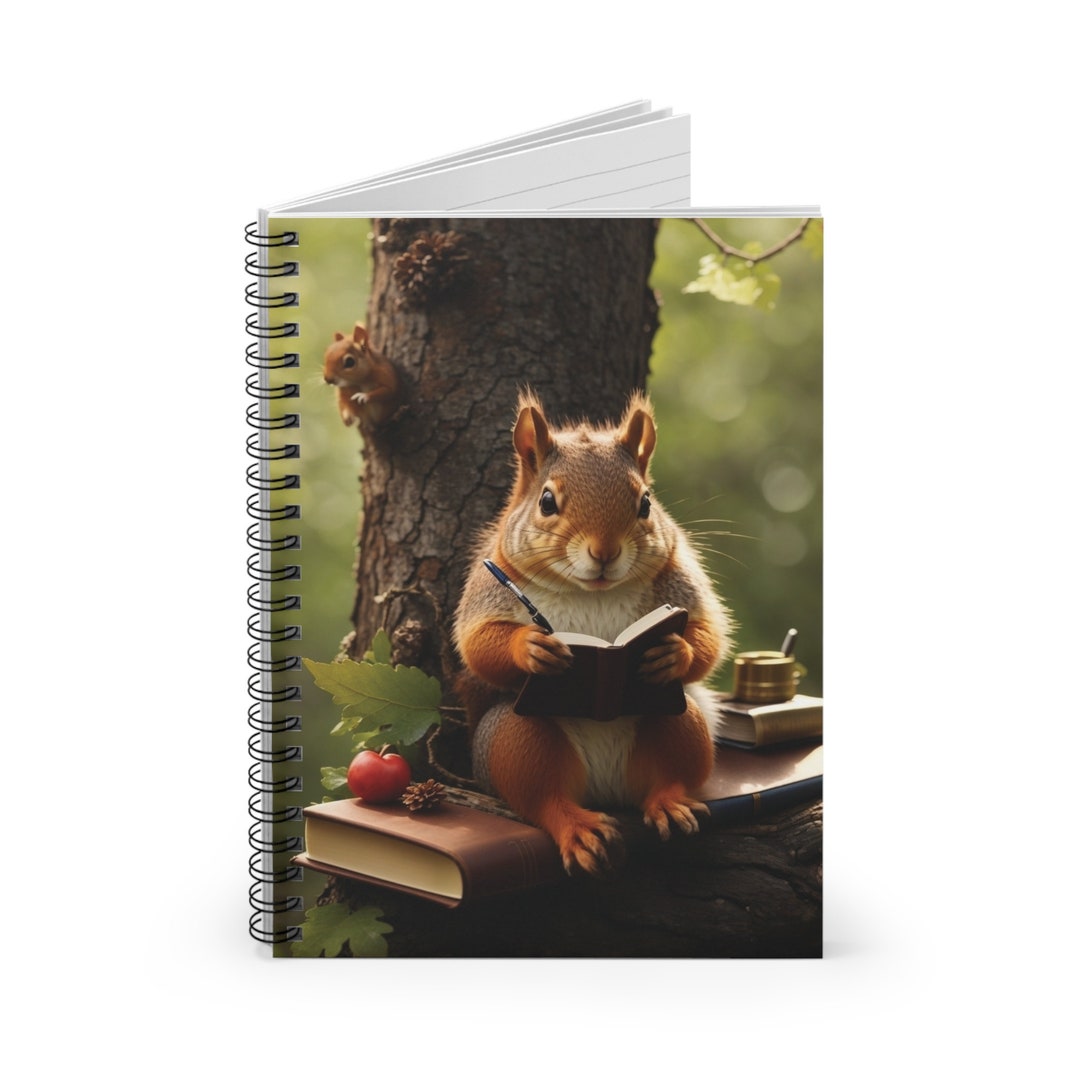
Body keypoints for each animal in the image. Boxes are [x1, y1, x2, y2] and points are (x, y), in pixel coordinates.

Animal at [453, 389, 735, 876]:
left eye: (645, 503)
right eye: (547, 502)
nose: (604, 552)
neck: (591, 593)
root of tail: (604, 790)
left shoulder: (681, 581)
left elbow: (708, 636)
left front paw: (674, 652)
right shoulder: (488, 587)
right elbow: (478, 645)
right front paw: (530, 646)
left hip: (679, 720)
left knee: (671, 770)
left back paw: (670, 804)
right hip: (514, 739)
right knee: (542, 797)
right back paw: (579, 828)